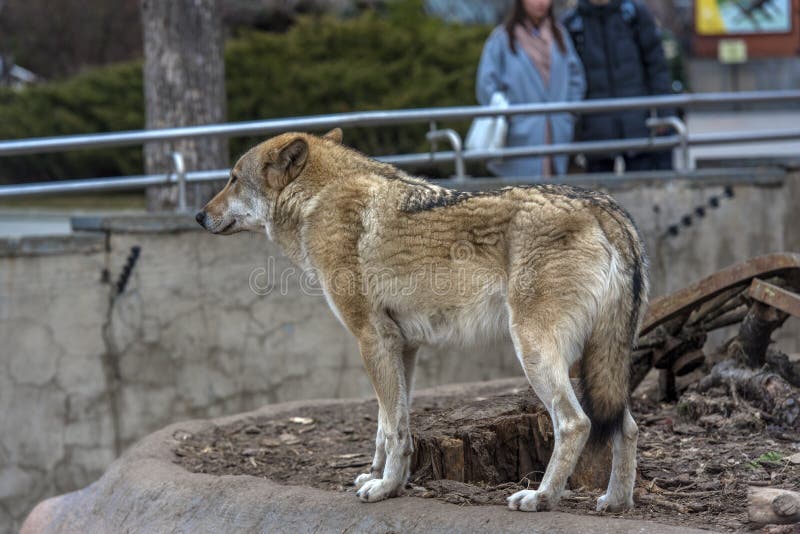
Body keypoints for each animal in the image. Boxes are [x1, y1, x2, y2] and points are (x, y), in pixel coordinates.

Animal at [196, 128, 649, 513]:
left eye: (233, 179)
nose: (199, 216)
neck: (319, 199)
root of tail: (606, 207)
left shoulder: (371, 338)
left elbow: (395, 430)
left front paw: (384, 488)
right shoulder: (402, 346)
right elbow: (388, 425)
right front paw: (381, 478)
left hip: (535, 352)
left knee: (575, 423)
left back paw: (541, 497)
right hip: (599, 364)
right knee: (626, 426)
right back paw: (615, 502)